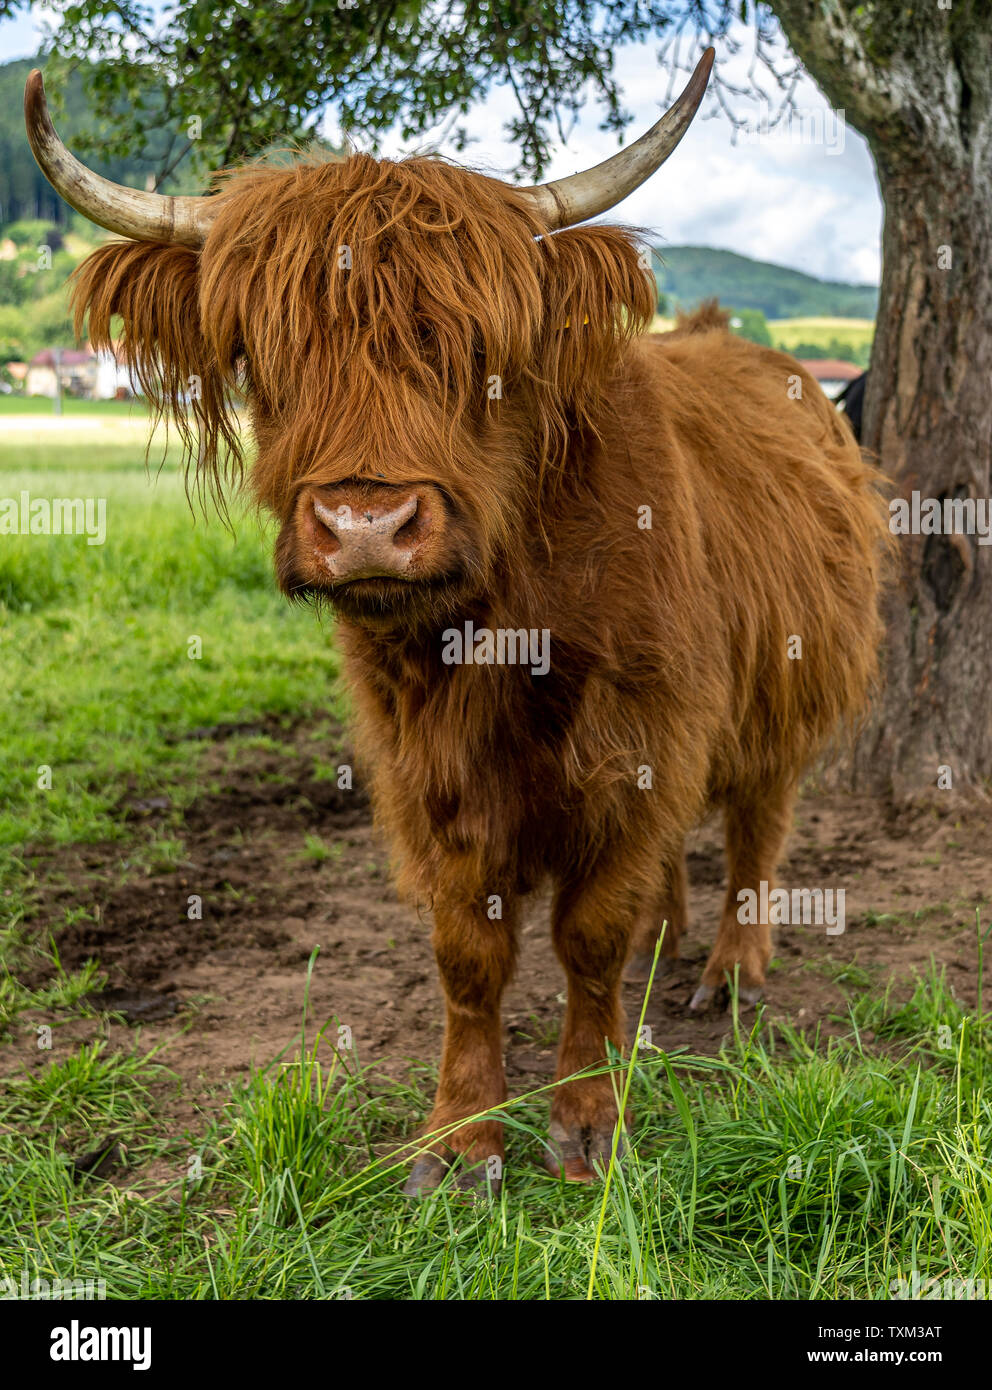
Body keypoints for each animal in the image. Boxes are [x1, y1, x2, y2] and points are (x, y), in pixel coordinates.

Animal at [26, 51, 891, 1192]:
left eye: (477, 351)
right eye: (262, 352)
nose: (365, 525)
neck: (498, 624)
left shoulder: (641, 729)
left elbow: (587, 934)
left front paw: (585, 1118)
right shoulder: (422, 769)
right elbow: (467, 954)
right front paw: (461, 1136)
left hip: (787, 679)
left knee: (756, 823)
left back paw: (729, 972)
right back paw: (665, 951)